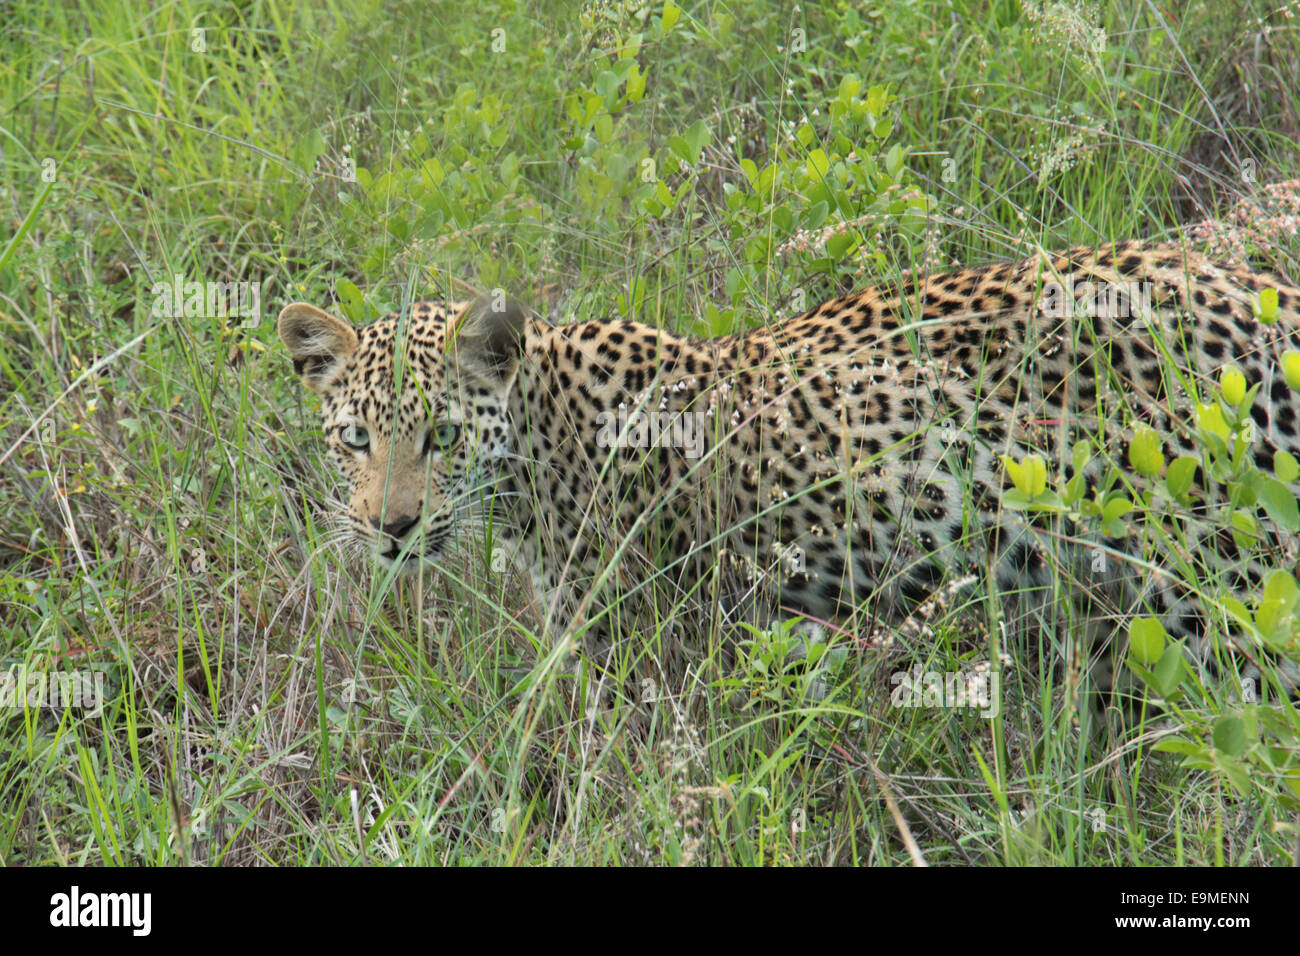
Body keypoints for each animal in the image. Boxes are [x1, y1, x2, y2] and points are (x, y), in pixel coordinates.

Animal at [278, 239, 1300, 703]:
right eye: (355, 439)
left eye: (443, 438)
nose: (393, 530)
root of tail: (1253, 284)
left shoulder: (646, 659)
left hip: (1232, 588)